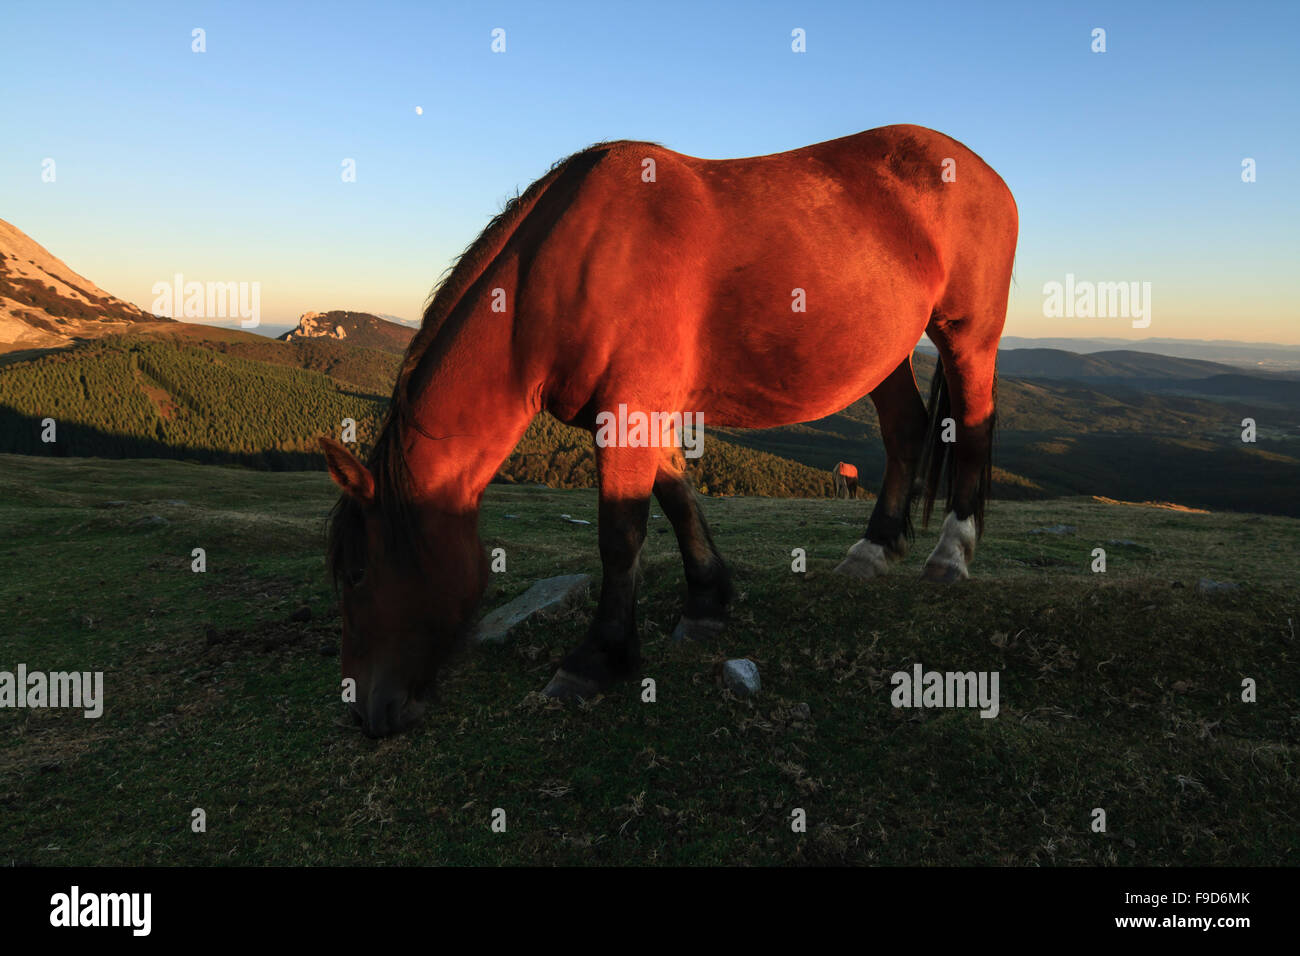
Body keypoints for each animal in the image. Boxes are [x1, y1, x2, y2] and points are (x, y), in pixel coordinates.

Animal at [320, 124, 1018, 737]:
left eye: (358, 574)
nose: (368, 716)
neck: (565, 266)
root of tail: (981, 170)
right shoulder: (639, 409)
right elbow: (676, 497)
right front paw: (707, 603)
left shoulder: (628, 408)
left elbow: (621, 535)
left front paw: (598, 659)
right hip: (883, 351)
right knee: (905, 431)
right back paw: (873, 550)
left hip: (968, 334)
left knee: (972, 431)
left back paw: (950, 555)